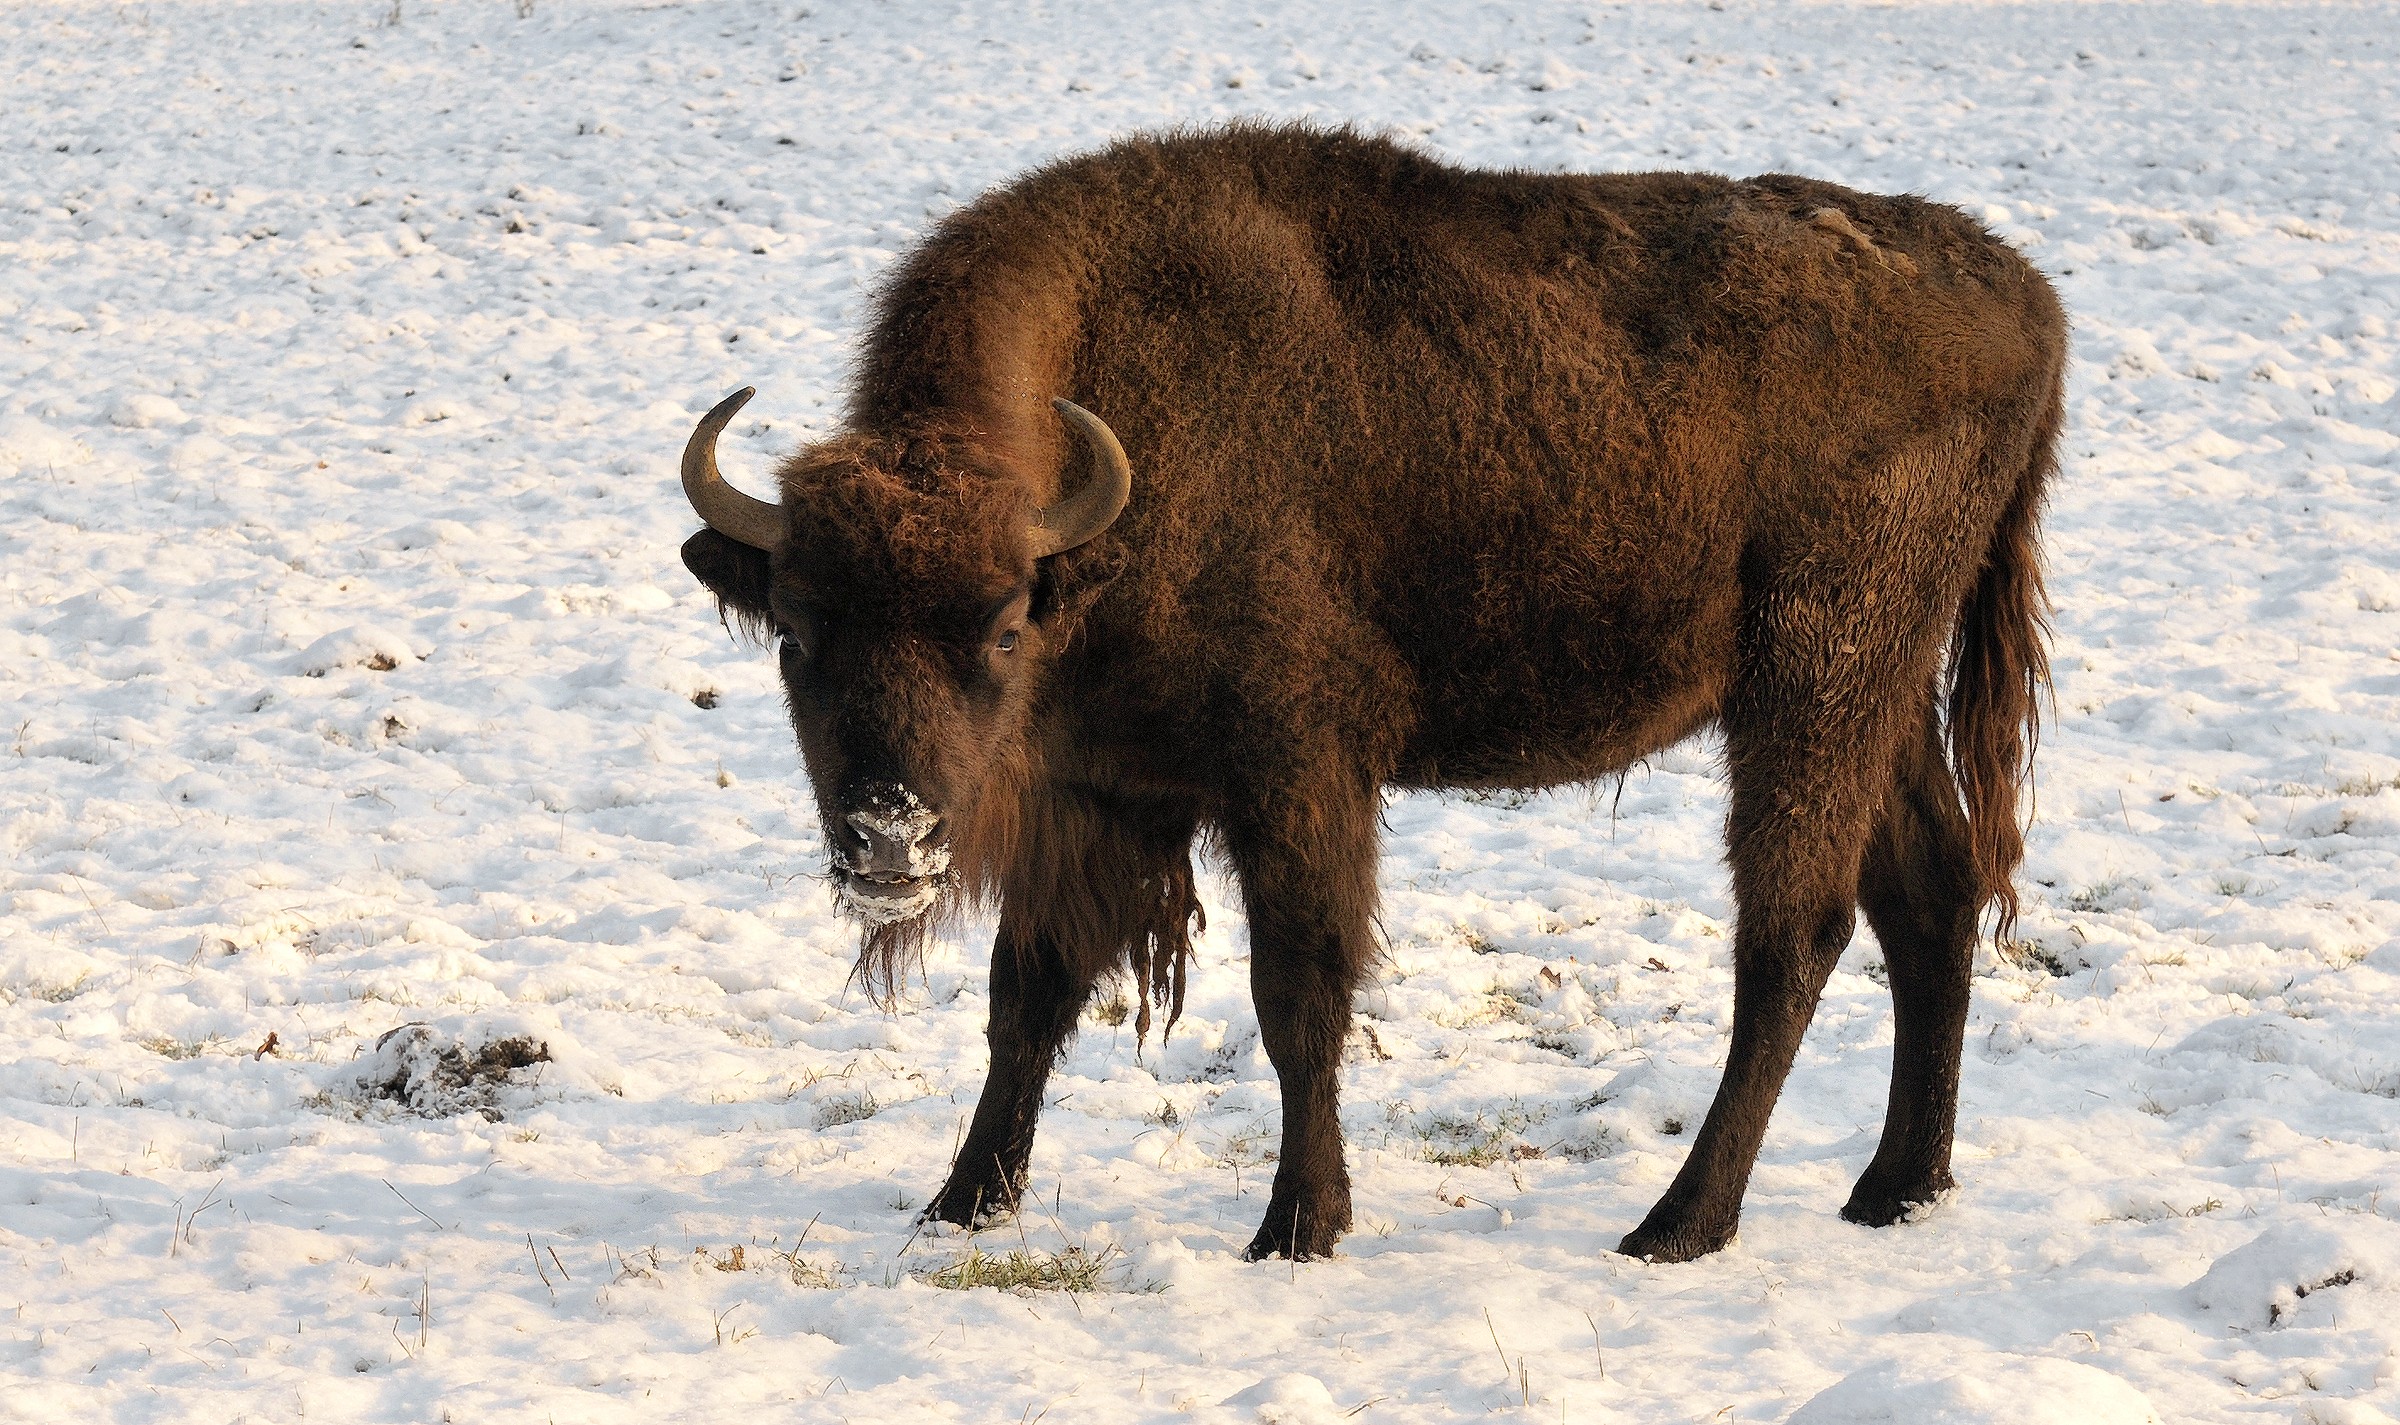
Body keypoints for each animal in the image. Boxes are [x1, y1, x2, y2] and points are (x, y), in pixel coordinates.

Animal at [678, 123, 2064, 1262]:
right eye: (795, 630)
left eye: (1005, 625)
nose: (889, 837)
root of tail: (2027, 298)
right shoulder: (1102, 789)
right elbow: (1030, 993)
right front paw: (961, 1203)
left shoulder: (1294, 778)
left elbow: (1299, 995)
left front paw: (1298, 1226)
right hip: (1881, 699)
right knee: (1931, 896)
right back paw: (1896, 1189)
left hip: (1812, 688)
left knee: (1793, 935)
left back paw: (1680, 1225)